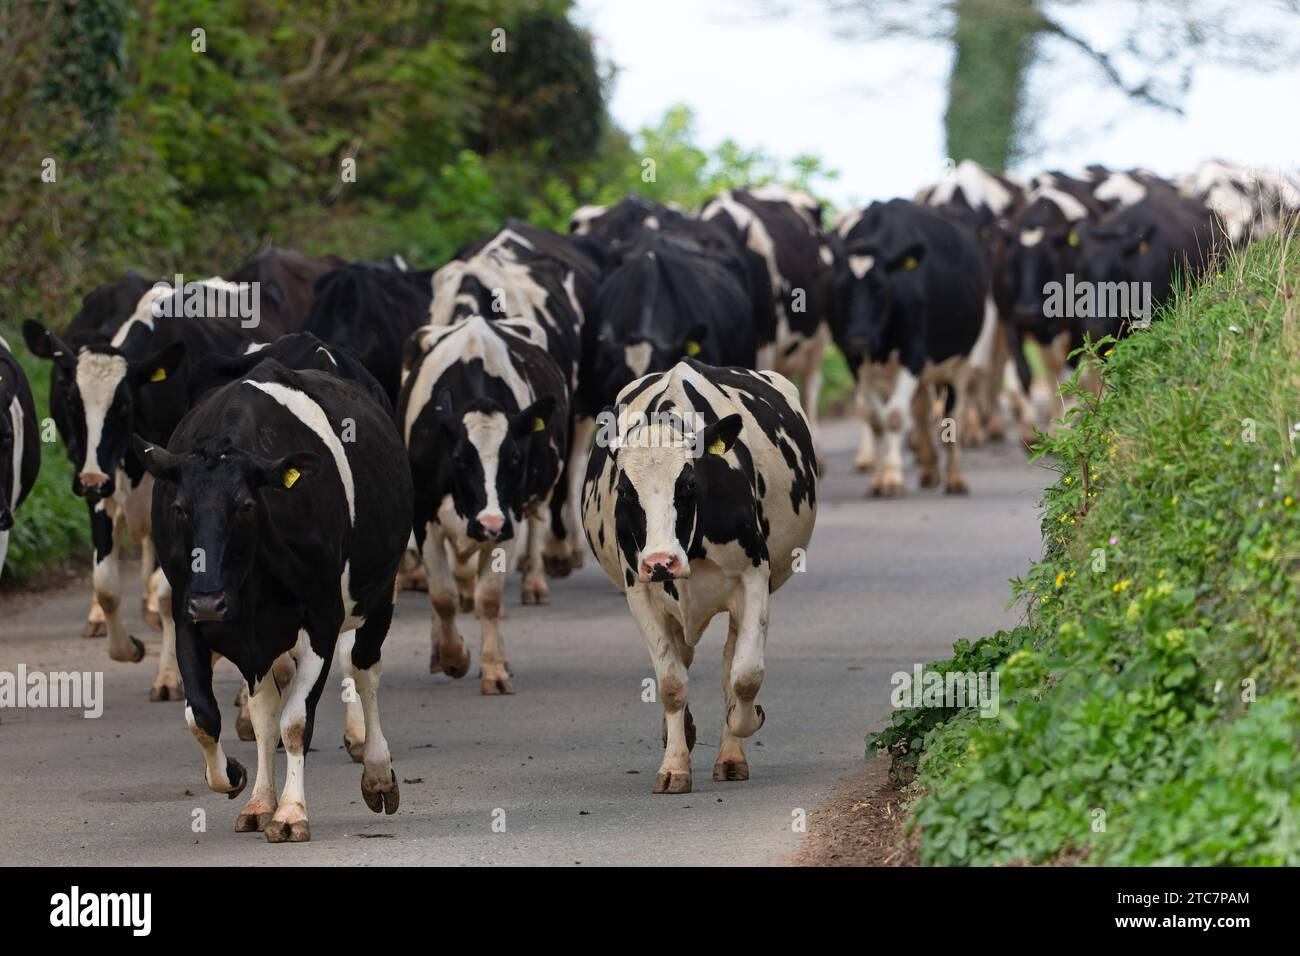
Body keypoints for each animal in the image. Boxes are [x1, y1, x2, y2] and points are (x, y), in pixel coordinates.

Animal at [21, 278, 263, 700]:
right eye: (71, 399)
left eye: (124, 403)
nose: (89, 480)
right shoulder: (103, 487)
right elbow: (106, 584)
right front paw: (128, 647)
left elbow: (169, 595)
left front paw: (168, 677)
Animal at [133, 358, 411, 842]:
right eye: (180, 508)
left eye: (245, 506)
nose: (210, 602)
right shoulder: (191, 619)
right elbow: (204, 717)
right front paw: (234, 778)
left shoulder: (321, 619)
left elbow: (296, 721)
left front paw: (291, 813)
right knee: (263, 712)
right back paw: (258, 802)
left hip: (379, 595)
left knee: (364, 670)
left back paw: (377, 773)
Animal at [400, 315, 568, 693]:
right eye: (460, 459)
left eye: (515, 459)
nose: (489, 523)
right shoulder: (423, 516)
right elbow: (443, 597)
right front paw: (453, 657)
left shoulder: (510, 519)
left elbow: (489, 598)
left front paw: (493, 670)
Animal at [581, 359, 817, 793]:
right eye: (624, 491)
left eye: (689, 483)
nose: (661, 561)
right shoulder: (639, 591)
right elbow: (672, 683)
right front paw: (674, 766)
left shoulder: (754, 579)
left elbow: (745, 676)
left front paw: (745, 721)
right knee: (684, 660)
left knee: (729, 668)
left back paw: (731, 755)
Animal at [830, 199, 987, 496]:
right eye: (841, 288)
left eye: (880, 287)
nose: (859, 338)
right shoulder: (854, 361)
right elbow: (875, 417)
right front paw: (879, 479)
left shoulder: (913, 352)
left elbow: (894, 416)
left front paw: (892, 478)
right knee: (921, 410)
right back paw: (929, 470)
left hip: (960, 361)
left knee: (953, 413)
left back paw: (955, 478)